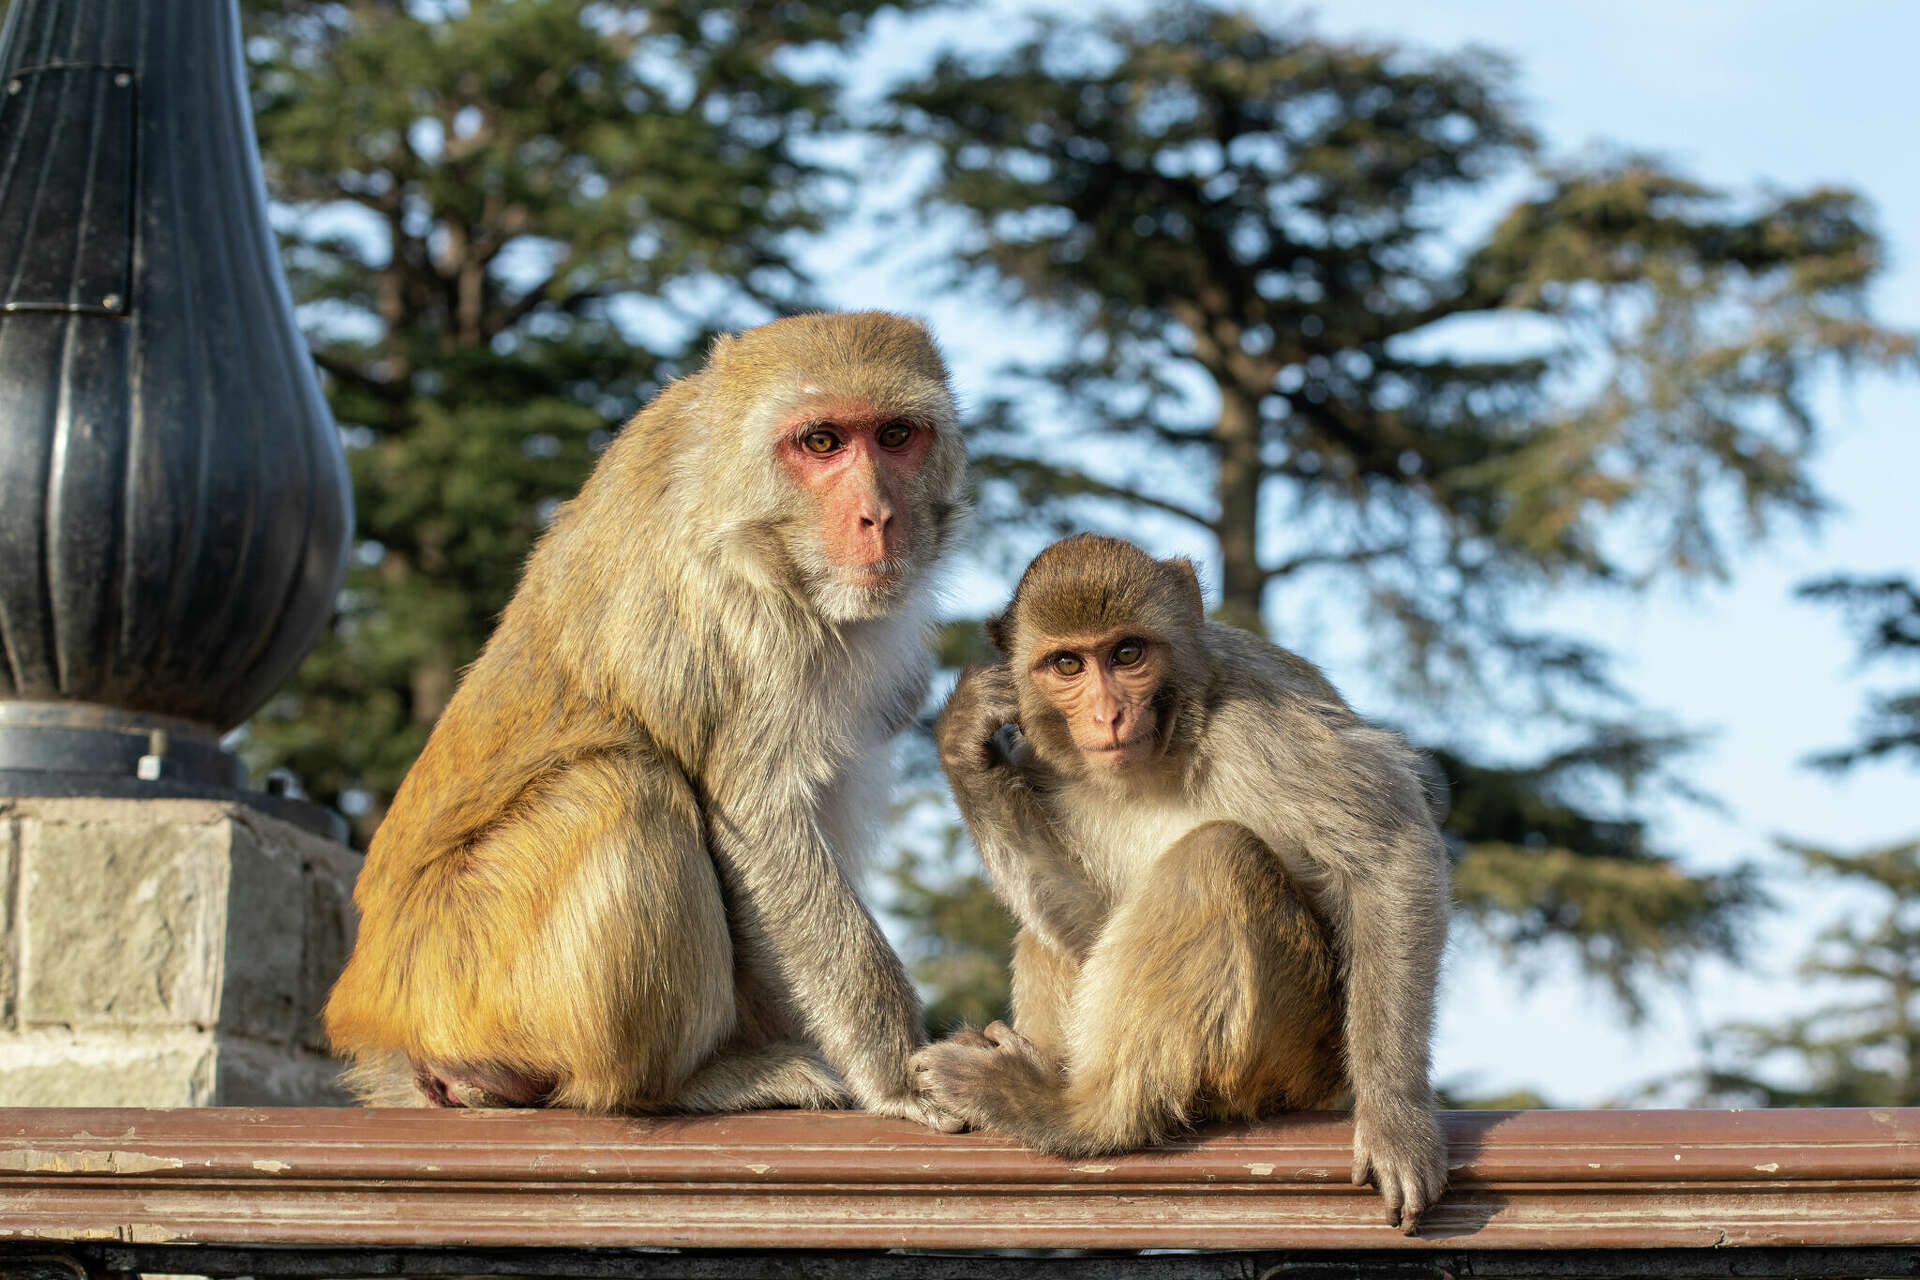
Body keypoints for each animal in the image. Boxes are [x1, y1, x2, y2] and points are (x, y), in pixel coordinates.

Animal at [323, 311, 967, 1131]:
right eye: (822, 441)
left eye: (894, 435)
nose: (877, 517)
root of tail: (377, 1016)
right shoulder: (741, 615)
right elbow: (761, 823)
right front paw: (900, 1076)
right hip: (472, 977)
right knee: (624, 787)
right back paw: (683, 1083)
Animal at [914, 534, 1450, 1232]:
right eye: (1067, 664)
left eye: (1127, 653)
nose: (1108, 714)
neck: (1170, 748)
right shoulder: (1047, 768)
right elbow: (1092, 925)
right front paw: (964, 745)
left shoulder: (1266, 730)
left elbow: (1391, 853)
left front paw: (1395, 1118)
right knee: (1050, 932)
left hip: (1297, 1052)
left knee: (1216, 856)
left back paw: (1069, 1114)